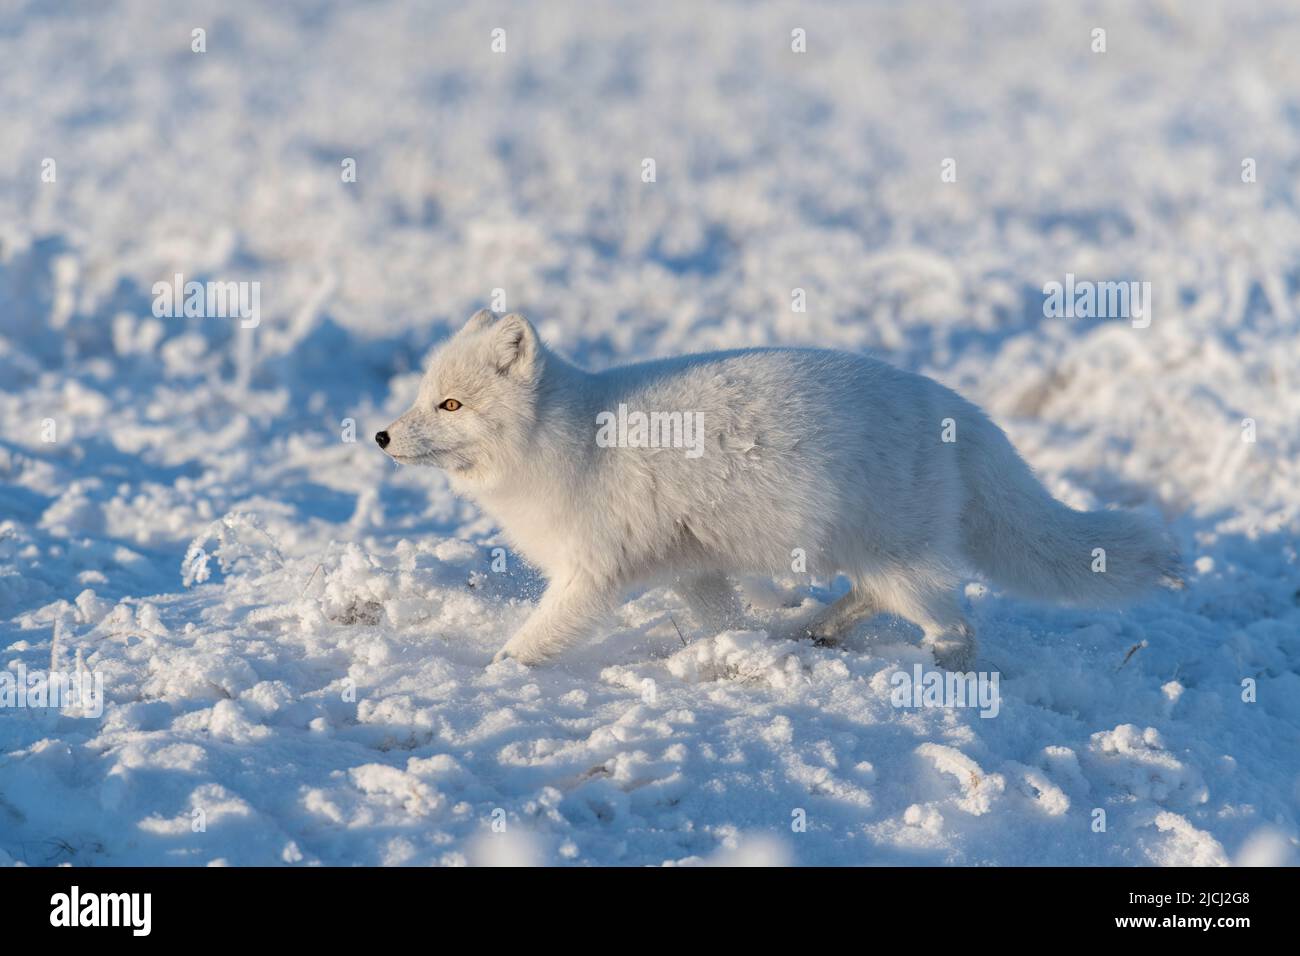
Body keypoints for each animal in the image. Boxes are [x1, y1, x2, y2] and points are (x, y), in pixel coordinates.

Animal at [377, 309, 1180, 669]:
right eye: (421, 398)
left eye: (451, 405)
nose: (381, 436)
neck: (572, 443)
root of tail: (946, 400)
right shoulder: (692, 568)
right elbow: (721, 616)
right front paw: (745, 643)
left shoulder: (591, 574)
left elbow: (532, 640)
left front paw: (498, 670)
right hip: (878, 554)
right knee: (873, 597)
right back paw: (815, 628)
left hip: (899, 557)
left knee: (955, 626)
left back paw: (931, 666)